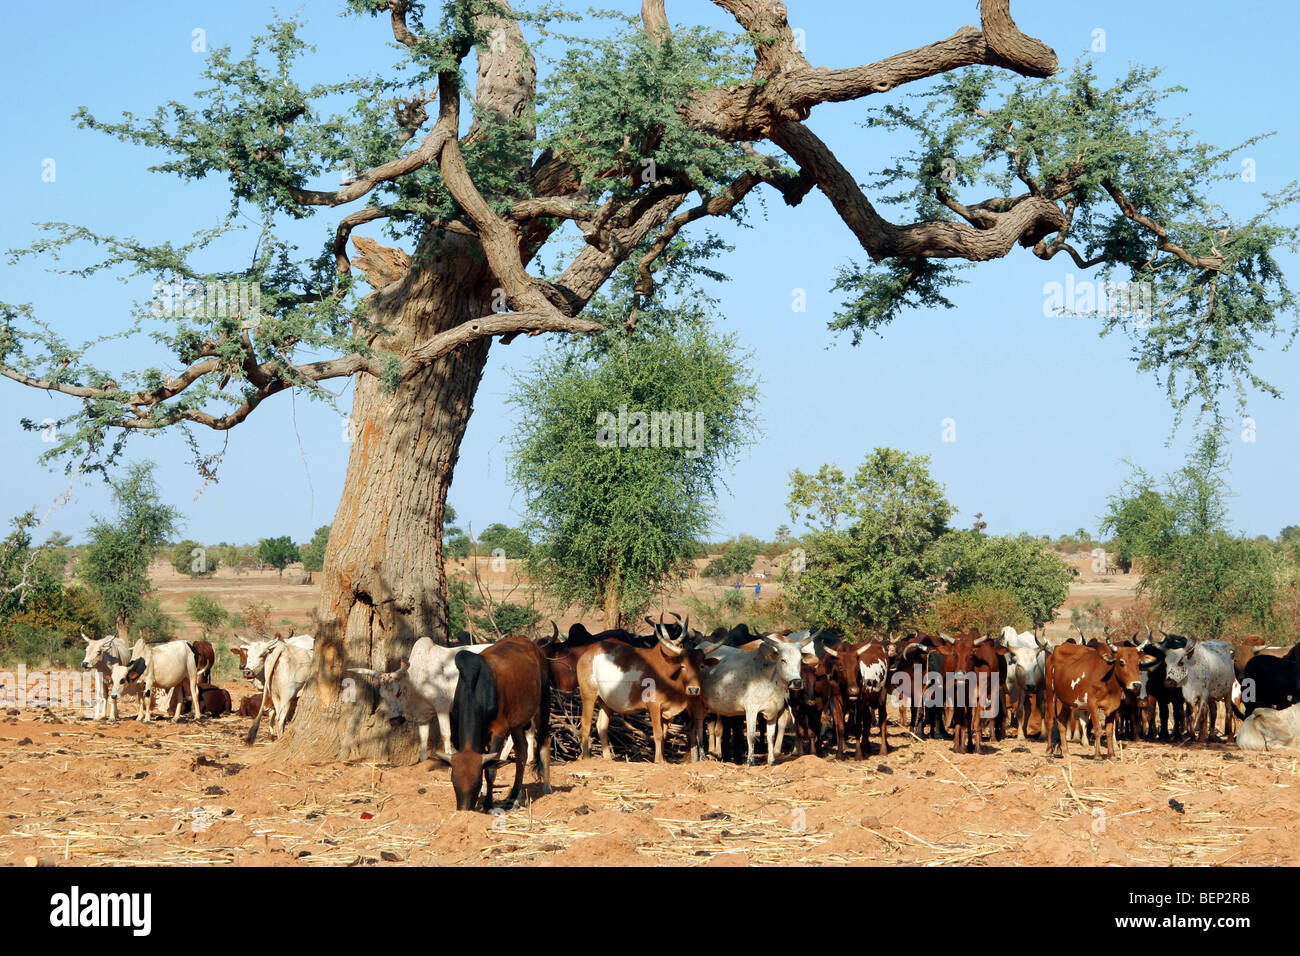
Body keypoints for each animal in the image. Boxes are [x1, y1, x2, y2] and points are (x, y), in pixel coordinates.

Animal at [348, 638, 491, 763]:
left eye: (399, 691)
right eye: (382, 695)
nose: (395, 721)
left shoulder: (442, 707)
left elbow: (445, 734)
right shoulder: (423, 716)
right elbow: (423, 740)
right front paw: (422, 761)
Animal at [430, 636, 552, 812]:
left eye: (475, 784)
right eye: (454, 783)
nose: (463, 810)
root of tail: (530, 643)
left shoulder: (499, 731)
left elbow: (490, 770)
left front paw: (488, 804)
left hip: (543, 704)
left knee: (544, 743)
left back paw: (547, 789)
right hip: (516, 724)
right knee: (522, 753)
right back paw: (512, 796)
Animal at [576, 618, 708, 763]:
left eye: (701, 665)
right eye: (683, 665)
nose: (694, 689)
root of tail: (587, 654)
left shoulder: (667, 712)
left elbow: (664, 735)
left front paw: (663, 760)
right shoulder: (654, 706)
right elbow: (658, 734)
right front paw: (658, 761)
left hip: (605, 702)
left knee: (602, 726)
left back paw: (608, 758)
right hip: (588, 695)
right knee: (586, 724)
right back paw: (586, 757)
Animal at [697, 634, 804, 766]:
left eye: (800, 660)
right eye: (783, 660)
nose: (797, 682)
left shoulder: (773, 712)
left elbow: (771, 737)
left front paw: (772, 761)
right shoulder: (751, 710)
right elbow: (751, 736)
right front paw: (751, 761)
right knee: (699, 729)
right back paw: (703, 757)